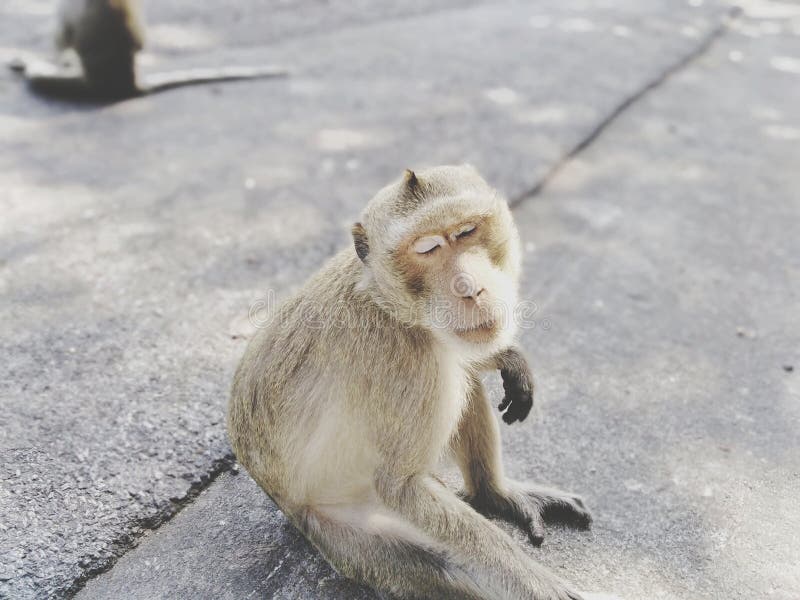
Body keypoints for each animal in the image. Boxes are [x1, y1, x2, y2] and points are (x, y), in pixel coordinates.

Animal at [227, 165, 592, 600]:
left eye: (466, 231)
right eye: (428, 249)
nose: (470, 288)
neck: (392, 304)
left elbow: (464, 351)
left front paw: (509, 356)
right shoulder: (401, 360)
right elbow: (402, 488)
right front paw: (540, 585)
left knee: (458, 370)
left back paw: (494, 495)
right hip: (338, 530)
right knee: (439, 566)